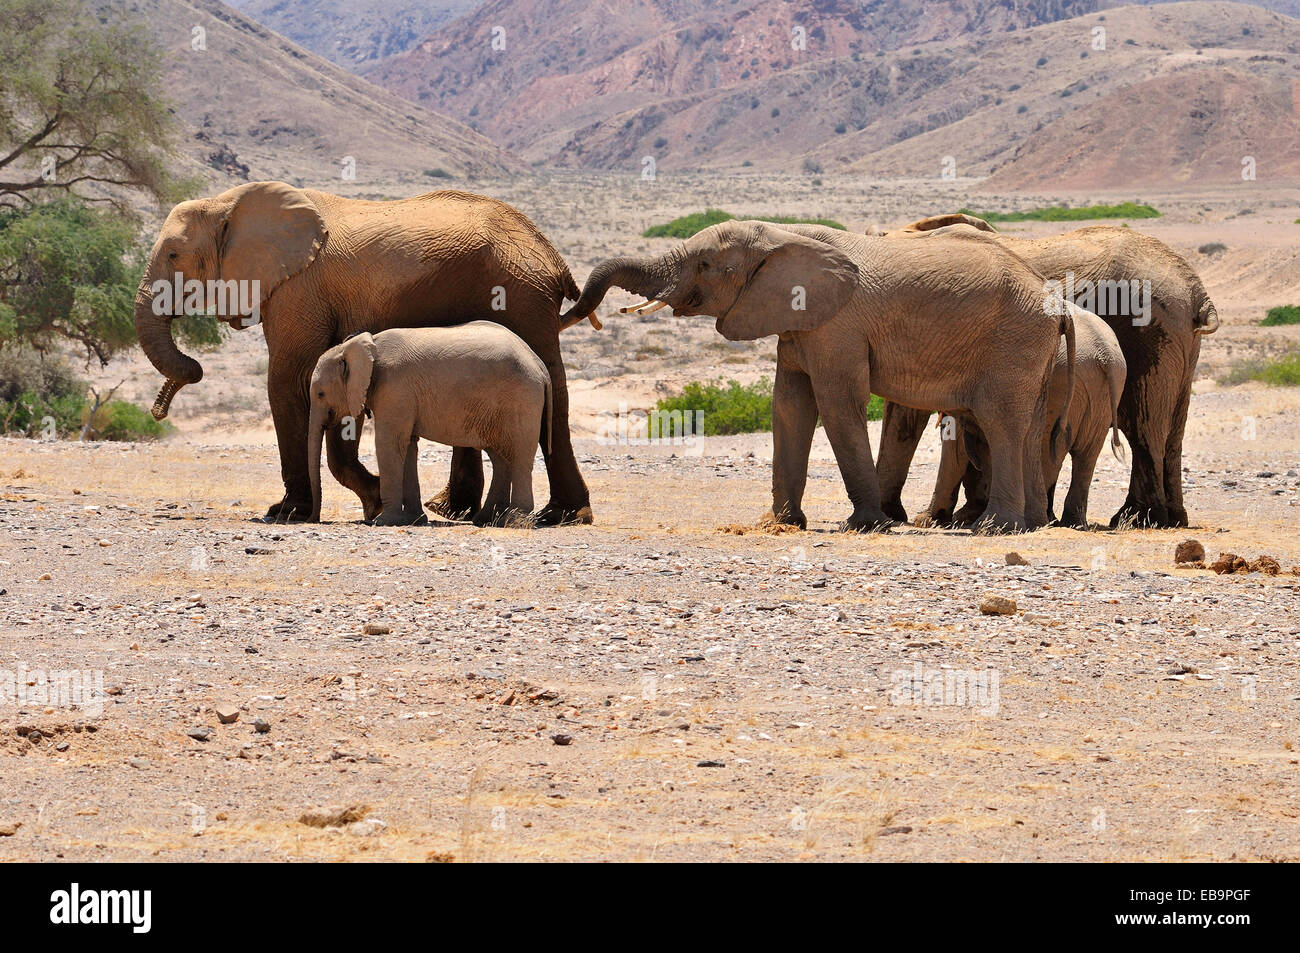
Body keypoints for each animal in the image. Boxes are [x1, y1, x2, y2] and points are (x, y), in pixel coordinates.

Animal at [307, 323, 550, 528]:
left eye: (320, 394)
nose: (313, 519)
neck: (363, 346)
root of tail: (539, 363)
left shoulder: (394, 389)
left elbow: (390, 443)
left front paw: (383, 521)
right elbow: (408, 446)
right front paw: (413, 520)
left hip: (522, 398)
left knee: (519, 455)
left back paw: (514, 520)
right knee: (500, 456)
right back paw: (487, 520)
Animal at [562, 219, 1075, 533]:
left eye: (705, 265)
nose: (582, 314)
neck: (781, 234)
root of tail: (1060, 306)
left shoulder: (837, 326)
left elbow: (836, 403)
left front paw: (865, 525)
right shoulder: (798, 324)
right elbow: (789, 407)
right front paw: (782, 525)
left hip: (1013, 339)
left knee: (1001, 423)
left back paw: (997, 528)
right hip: (1032, 349)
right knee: (1032, 428)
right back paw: (1033, 524)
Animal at [916, 307, 1126, 530]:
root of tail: (1104, 353)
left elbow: (956, 444)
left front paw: (930, 520)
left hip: (1063, 388)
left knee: (1048, 451)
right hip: (1102, 394)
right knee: (1086, 456)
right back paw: (1071, 523)